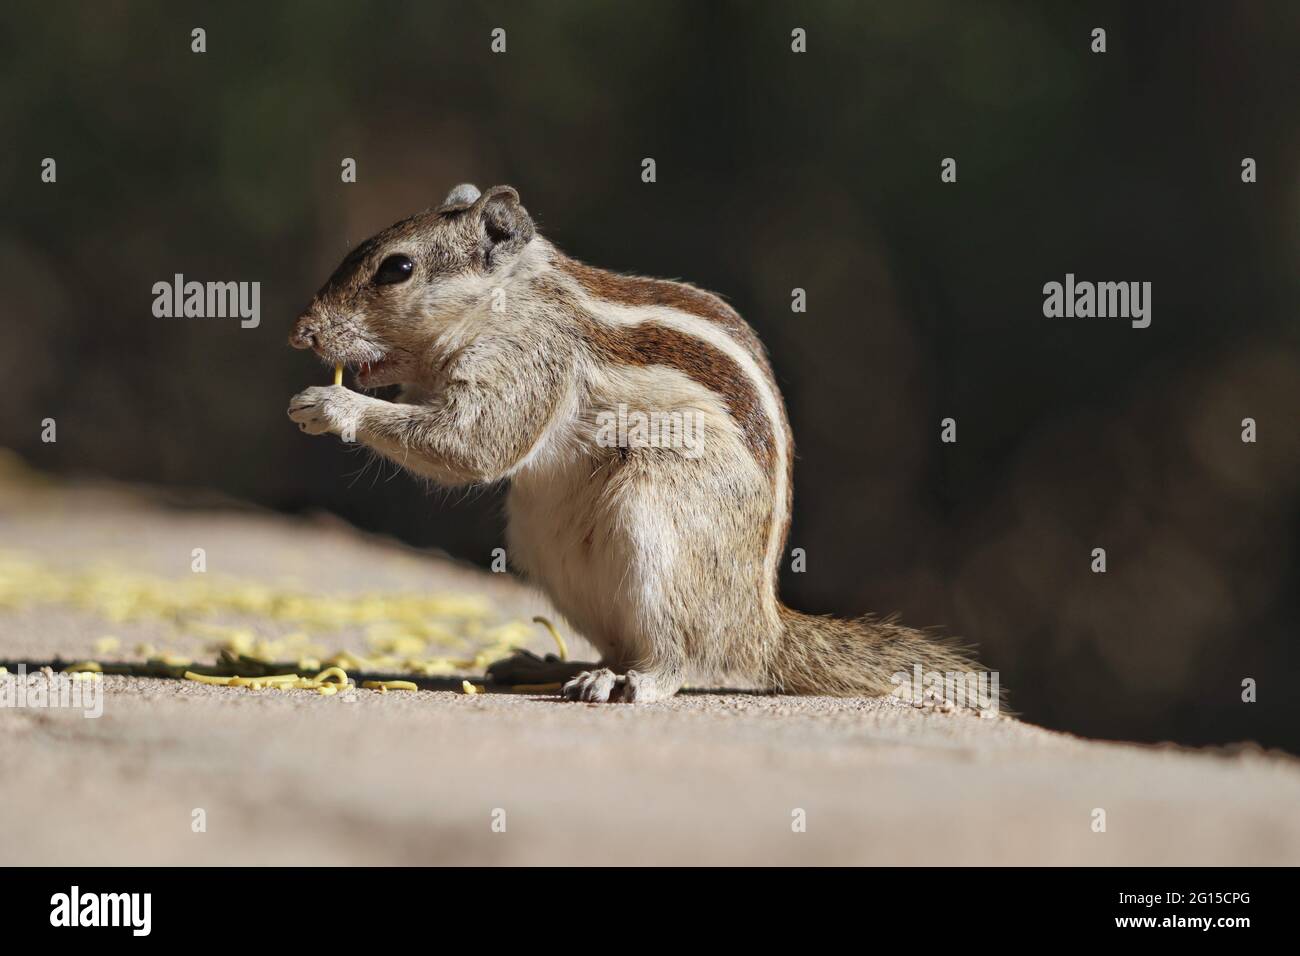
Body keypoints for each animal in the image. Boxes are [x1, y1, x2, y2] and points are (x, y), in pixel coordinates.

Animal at [288, 183, 983, 703]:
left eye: (397, 269)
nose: (303, 332)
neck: (511, 300)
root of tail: (756, 626)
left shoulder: (529, 363)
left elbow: (476, 445)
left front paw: (331, 405)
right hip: (546, 540)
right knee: (619, 643)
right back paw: (555, 668)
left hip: (655, 516)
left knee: (684, 655)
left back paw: (635, 682)